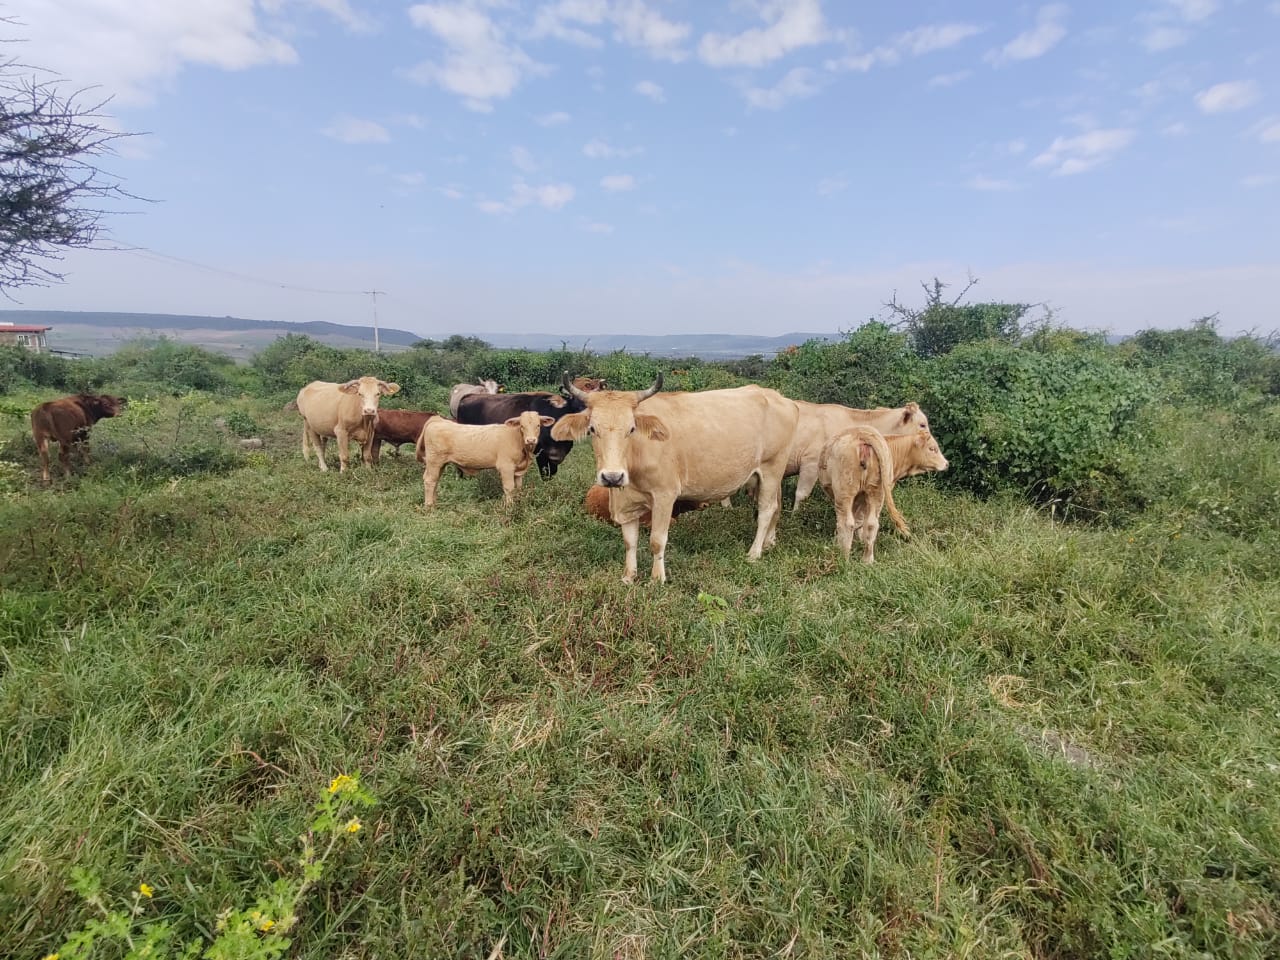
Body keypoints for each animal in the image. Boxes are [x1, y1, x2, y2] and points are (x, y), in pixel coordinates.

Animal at [416, 409, 554, 507]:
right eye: (522, 426)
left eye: (538, 425)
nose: (531, 440)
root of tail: (438, 420)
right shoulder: (506, 467)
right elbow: (509, 488)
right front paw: (510, 507)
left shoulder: (518, 470)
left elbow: (519, 487)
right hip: (434, 461)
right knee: (430, 481)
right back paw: (429, 506)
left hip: (440, 464)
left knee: (435, 480)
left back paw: (434, 503)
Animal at [552, 373, 799, 583]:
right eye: (593, 429)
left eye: (631, 429)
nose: (612, 477)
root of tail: (780, 398)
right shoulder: (625, 501)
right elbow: (629, 541)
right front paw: (629, 577)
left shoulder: (665, 495)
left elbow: (657, 540)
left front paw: (657, 578)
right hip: (769, 476)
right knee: (776, 506)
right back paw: (769, 542)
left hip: (771, 468)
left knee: (766, 509)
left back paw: (754, 552)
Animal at [818, 428, 949, 564]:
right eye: (932, 448)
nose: (947, 464)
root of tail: (862, 434)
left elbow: (858, 520)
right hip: (871, 492)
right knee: (867, 524)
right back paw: (861, 559)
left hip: (849, 492)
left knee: (851, 523)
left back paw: (849, 559)